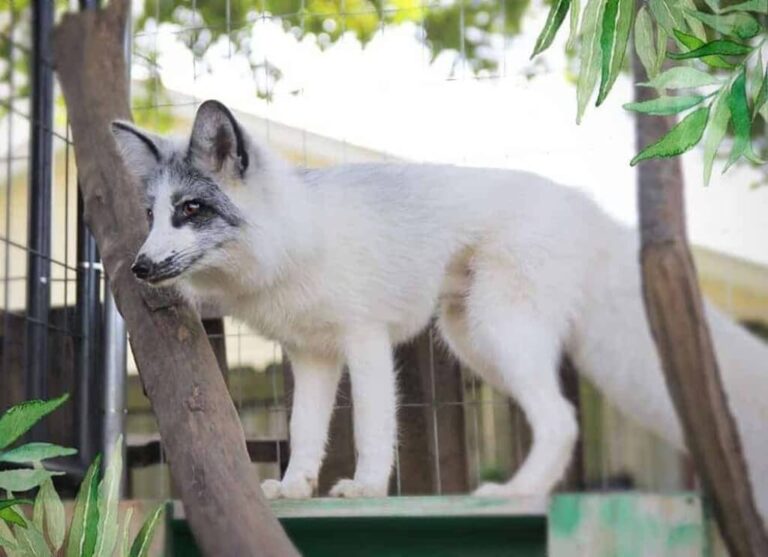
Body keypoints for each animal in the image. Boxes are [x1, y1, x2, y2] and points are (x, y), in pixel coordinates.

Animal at [111, 99, 768, 520]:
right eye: (152, 215)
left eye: (192, 210)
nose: (139, 266)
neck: (293, 238)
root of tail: (587, 208)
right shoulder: (312, 356)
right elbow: (305, 432)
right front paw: (295, 488)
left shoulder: (366, 339)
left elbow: (372, 426)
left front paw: (367, 489)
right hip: (473, 339)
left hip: (499, 330)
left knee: (561, 419)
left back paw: (514, 493)